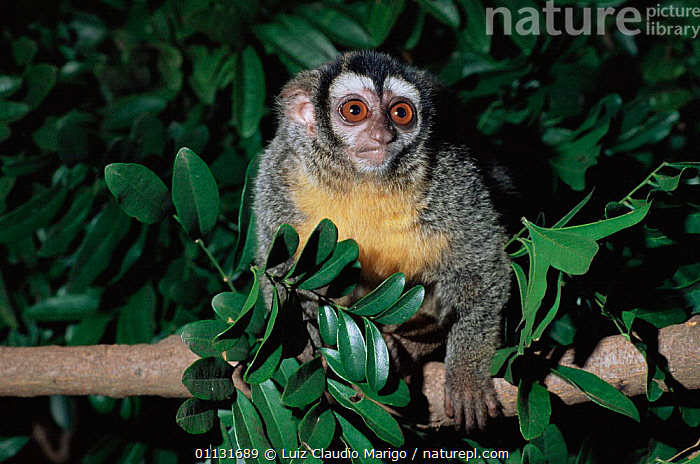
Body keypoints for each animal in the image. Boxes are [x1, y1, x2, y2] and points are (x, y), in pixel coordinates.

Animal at [253, 50, 511, 432]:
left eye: (401, 113)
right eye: (354, 110)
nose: (383, 135)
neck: (362, 181)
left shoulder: (452, 175)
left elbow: (481, 265)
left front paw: (466, 375)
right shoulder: (280, 175)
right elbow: (280, 273)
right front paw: (302, 350)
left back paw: (410, 342)